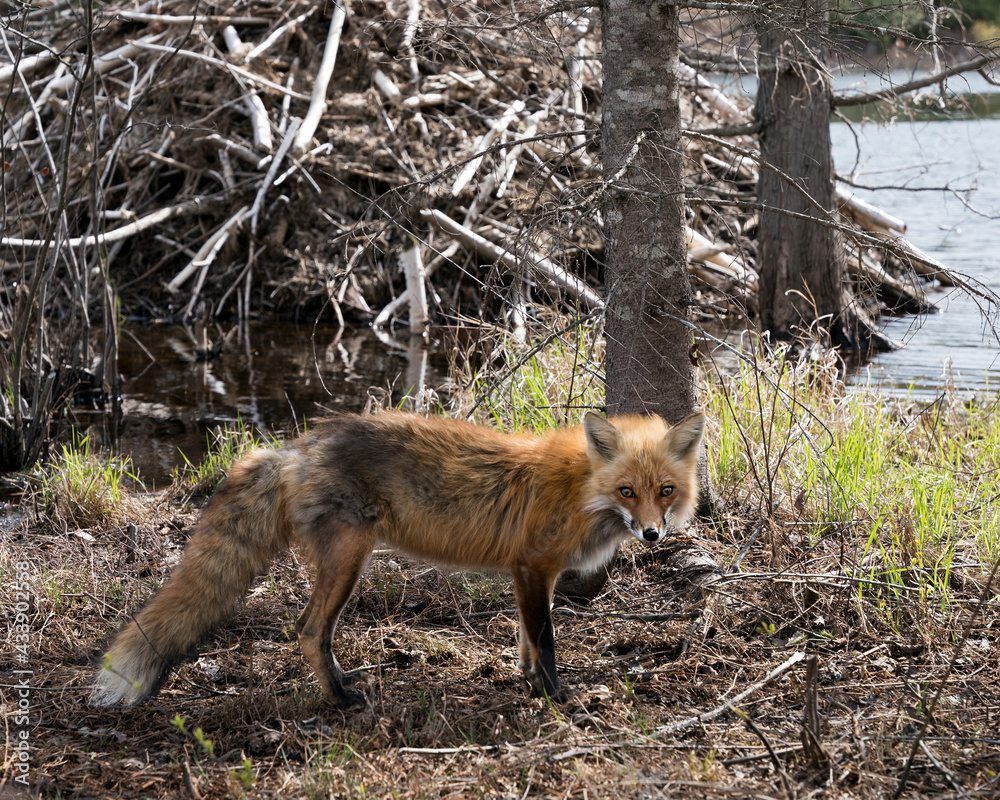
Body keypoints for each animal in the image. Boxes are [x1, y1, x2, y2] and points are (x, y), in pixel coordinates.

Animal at [91, 409, 705, 709]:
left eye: (665, 491)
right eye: (627, 491)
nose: (653, 535)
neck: (581, 489)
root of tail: (299, 445)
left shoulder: (529, 574)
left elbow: (527, 642)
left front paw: (530, 686)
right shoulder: (533, 567)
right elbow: (547, 642)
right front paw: (556, 699)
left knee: (308, 630)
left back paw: (341, 686)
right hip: (350, 558)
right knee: (308, 629)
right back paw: (341, 701)